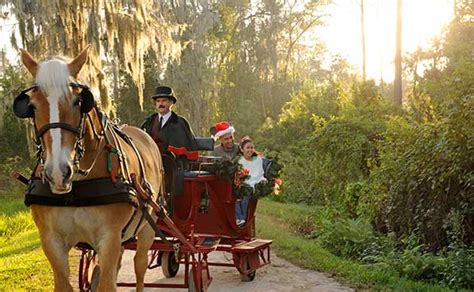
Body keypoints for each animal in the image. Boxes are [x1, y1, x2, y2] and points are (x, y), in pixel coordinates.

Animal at [14, 48, 164, 292]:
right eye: (32, 106)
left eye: (79, 101)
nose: (58, 173)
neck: (75, 190)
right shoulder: (51, 240)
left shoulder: (109, 238)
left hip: (148, 227)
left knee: (139, 266)